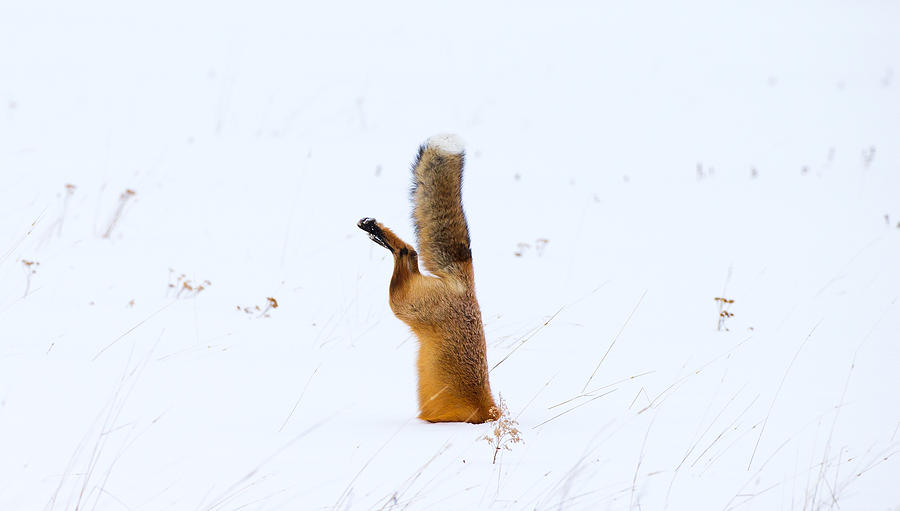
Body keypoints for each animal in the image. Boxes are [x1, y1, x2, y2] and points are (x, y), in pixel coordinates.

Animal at [358, 134, 499, 424]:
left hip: (406, 304)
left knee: (410, 252)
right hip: (401, 303)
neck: (484, 415)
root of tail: (466, 284)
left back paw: (376, 232)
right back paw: (378, 231)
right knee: (406, 252)